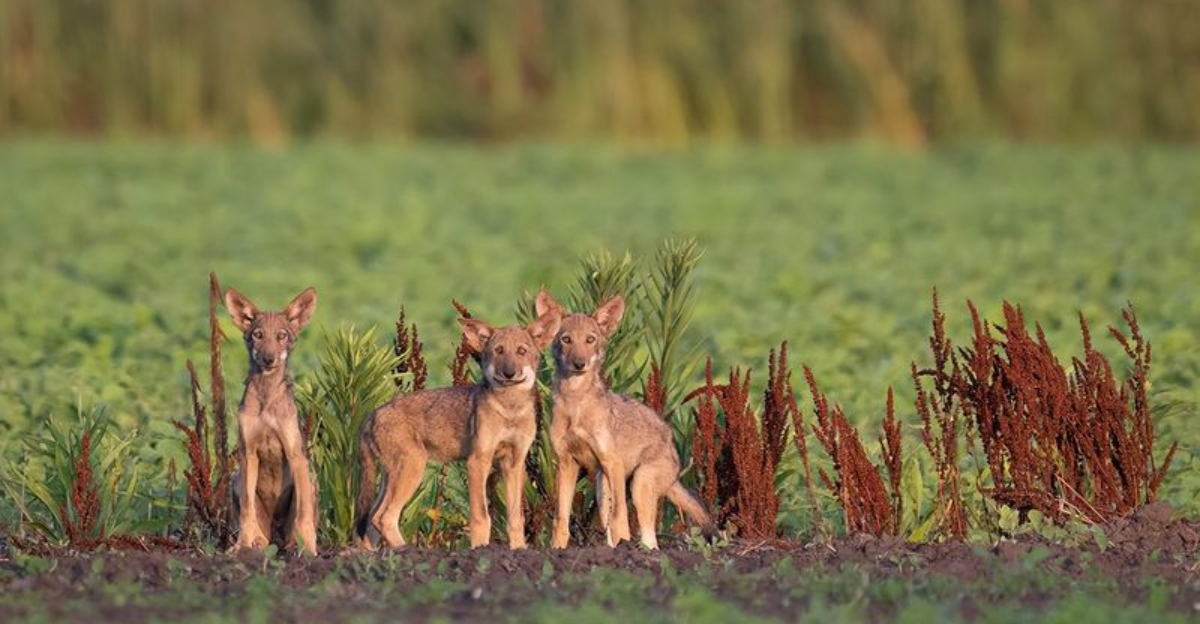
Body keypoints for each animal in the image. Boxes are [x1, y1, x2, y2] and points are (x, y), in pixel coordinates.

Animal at [224, 286, 320, 555]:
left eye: (281, 336)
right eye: (258, 335)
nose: (268, 359)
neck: (266, 398)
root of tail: (276, 532)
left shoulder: (296, 455)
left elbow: (304, 516)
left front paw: (309, 551)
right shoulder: (248, 453)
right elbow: (247, 511)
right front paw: (241, 547)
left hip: (311, 480)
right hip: (236, 479)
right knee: (260, 532)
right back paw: (254, 544)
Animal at [355, 310, 561, 549]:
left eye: (521, 351)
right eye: (499, 350)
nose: (509, 373)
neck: (510, 410)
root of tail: (373, 412)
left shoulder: (513, 463)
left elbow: (515, 518)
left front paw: (518, 549)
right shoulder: (477, 462)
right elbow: (482, 516)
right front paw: (480, 548)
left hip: (392, 477)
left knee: (371, 520)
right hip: (411, 470)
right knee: (384, 517)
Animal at [536, 290, 714, 549]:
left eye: (590, 340)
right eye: (566, 339)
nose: (579, 363)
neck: (575, 403)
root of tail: (670, 438)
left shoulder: (614, 463)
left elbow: (620, 518)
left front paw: (624, 545)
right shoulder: (567, 463)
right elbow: (561, 518)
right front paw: (557, 549)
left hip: (638, 485)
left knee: (649, 539)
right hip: (602, 492)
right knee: (611, 525)